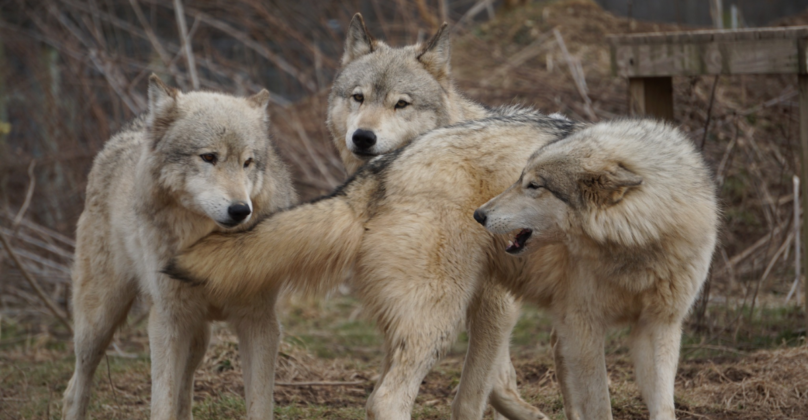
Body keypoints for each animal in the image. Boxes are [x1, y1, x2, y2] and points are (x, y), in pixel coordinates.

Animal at [62, 75, 296, 420]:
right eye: (209, 157)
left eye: (248, 163)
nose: (241, 210)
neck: (207, 245)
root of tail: (128, 132)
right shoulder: (167, 322)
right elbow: (162, 401)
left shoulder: (259, 322)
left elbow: (259, 405)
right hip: (99, 322)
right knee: (76, 385)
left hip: (199, 336)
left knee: (186, 389)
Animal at [474, 119, 718, 420]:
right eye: (521, 179)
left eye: (533, 185)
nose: (479, 214)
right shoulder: (583, 328)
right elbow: (599, 404)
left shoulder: (659, 325)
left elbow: (663, 406)